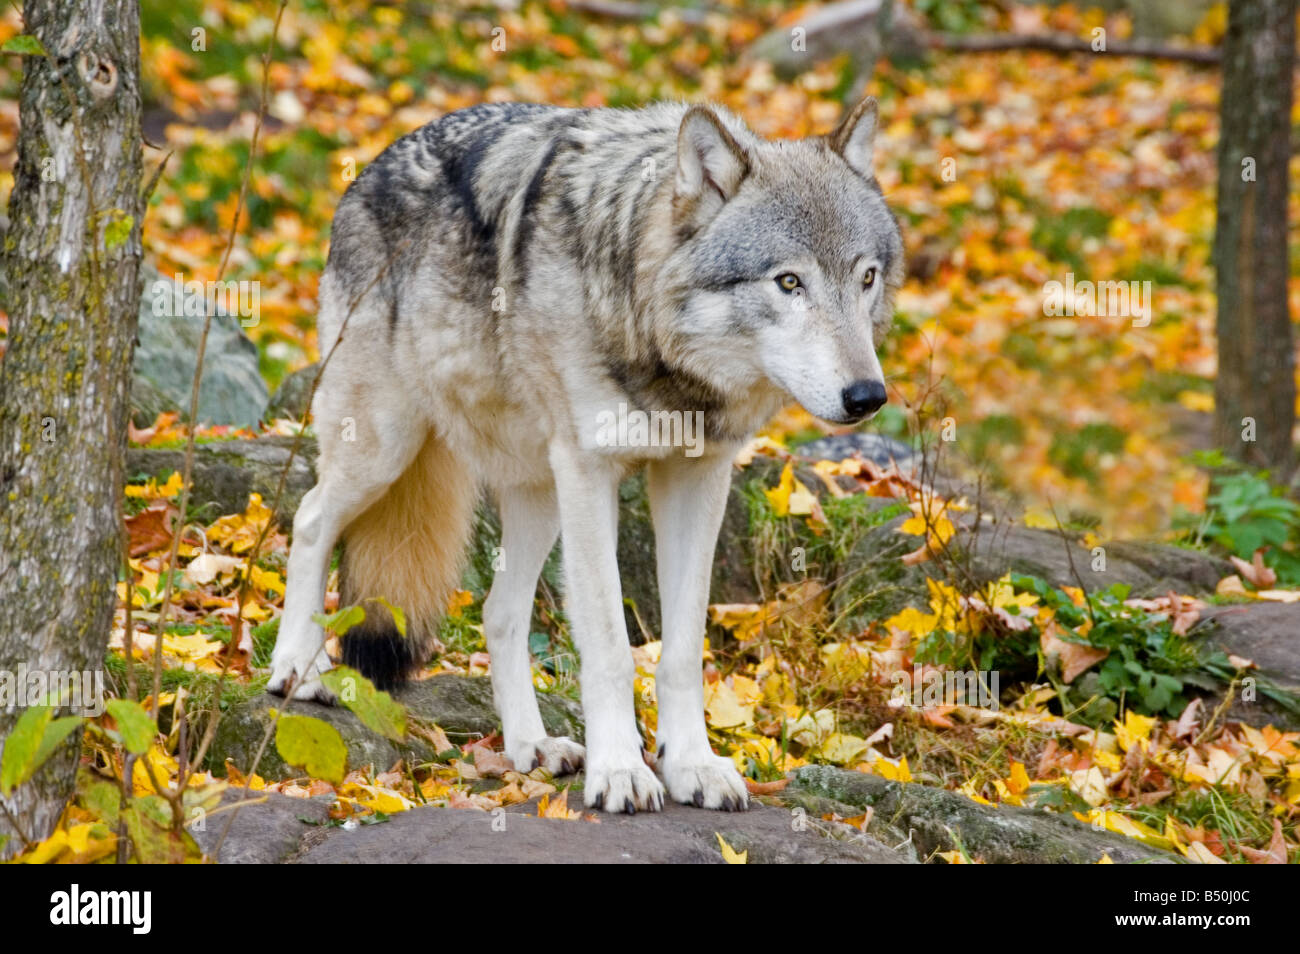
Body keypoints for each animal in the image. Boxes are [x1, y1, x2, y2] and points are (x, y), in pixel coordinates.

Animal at [268, 97, 903, 814]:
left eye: (866, 278)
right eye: (789, 282)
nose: (867, 395)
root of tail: (368, 170)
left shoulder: (697, 476)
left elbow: (682, 651)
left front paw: (691, 766)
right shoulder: (592, 473)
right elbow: (609, 645)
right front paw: (622, 771)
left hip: (539, 493)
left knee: (498, 613)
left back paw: (531, 747)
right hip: (387, 445)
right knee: (310, 518)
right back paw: (297, 667)